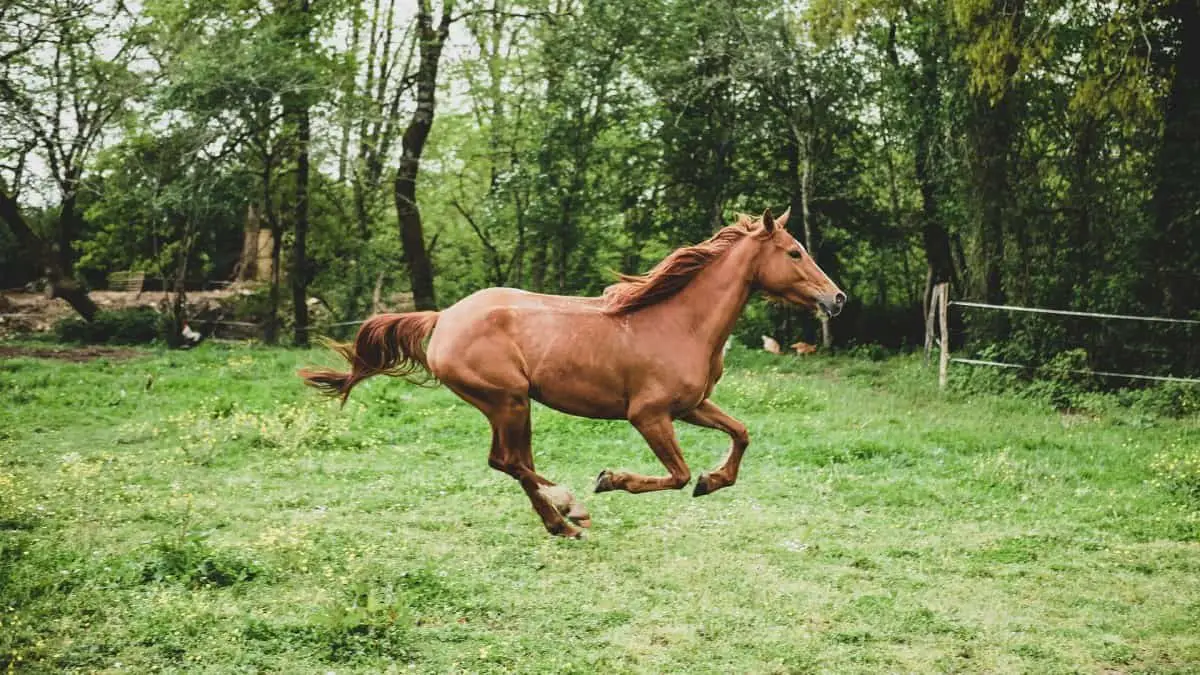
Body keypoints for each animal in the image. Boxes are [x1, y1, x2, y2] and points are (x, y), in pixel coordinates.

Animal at [300, 208, 845, 538]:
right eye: (795, 252)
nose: (836, 298)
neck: (680, 323)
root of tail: (444, 317)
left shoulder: (691, 406)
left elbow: (741, 433)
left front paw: (714, 481)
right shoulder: (648, 415)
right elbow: (677, 474)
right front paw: (612, 479)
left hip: (510, 407)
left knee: (511, 462)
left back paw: (561, 519)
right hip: (508, 400)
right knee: (509, 461)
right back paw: (569, 509)